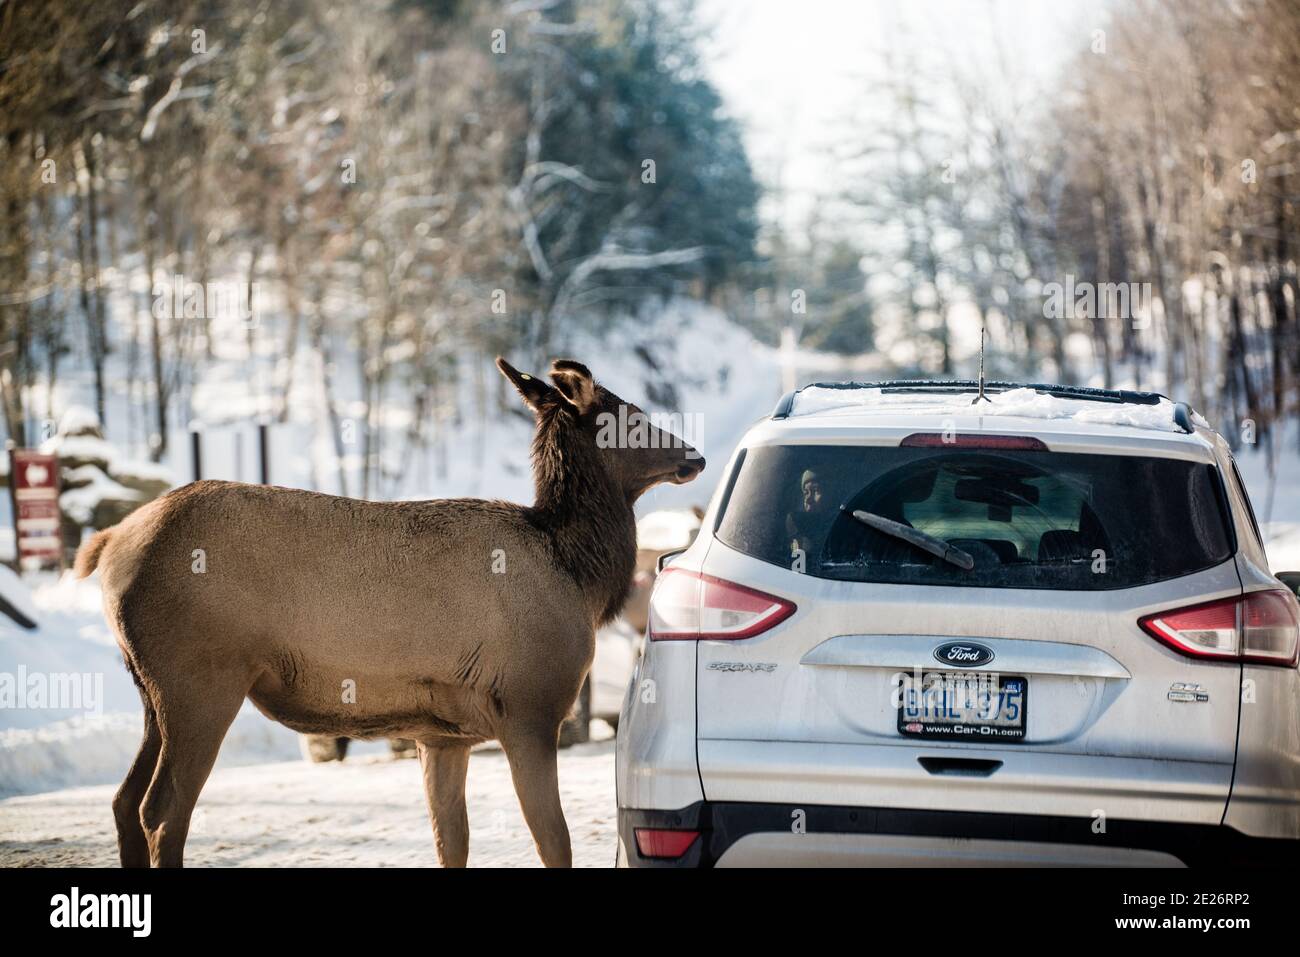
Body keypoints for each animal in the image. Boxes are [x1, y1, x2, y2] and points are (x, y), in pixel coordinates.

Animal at [73, 358, 704, 867]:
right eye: (633, 416)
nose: (694, 455)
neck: (579, 575)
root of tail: (108, 545)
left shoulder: (443, 734)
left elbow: (452, 842)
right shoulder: (531, 705)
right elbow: (555, 840)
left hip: (151, 687)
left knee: (124, 801)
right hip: (202, 678)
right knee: (162, 811)